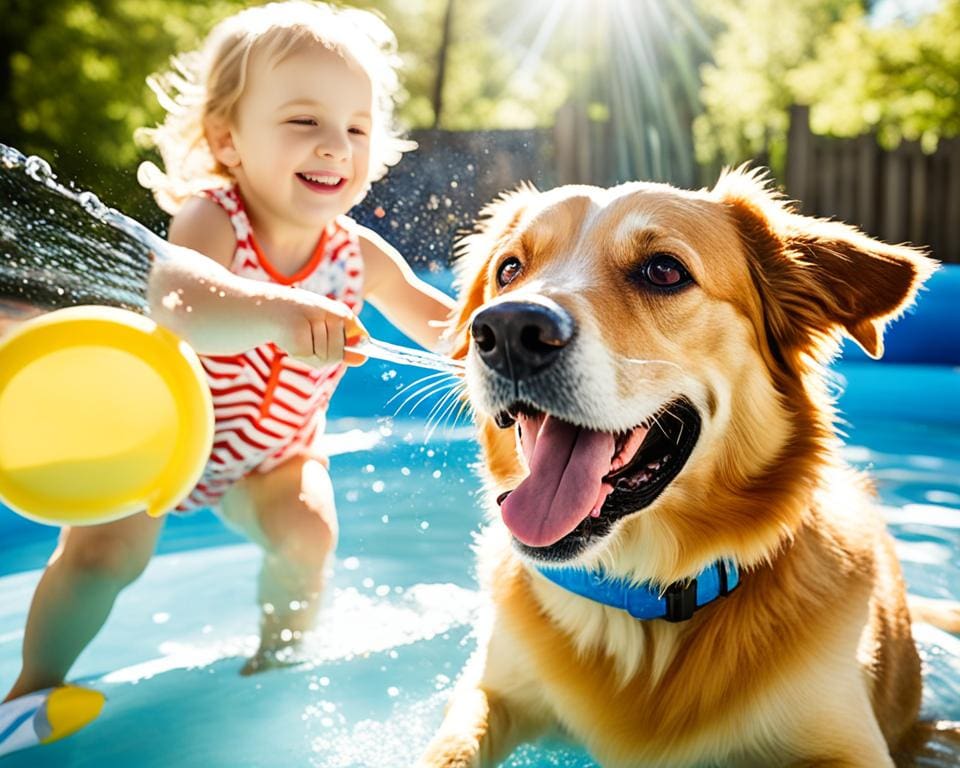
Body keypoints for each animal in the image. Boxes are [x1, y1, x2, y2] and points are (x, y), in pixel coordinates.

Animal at [422, 170, 960, 768]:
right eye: (510, 269)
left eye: (664, 271)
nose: (508, 331)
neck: (646, 598)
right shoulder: (490, 690)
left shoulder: (846, 741)